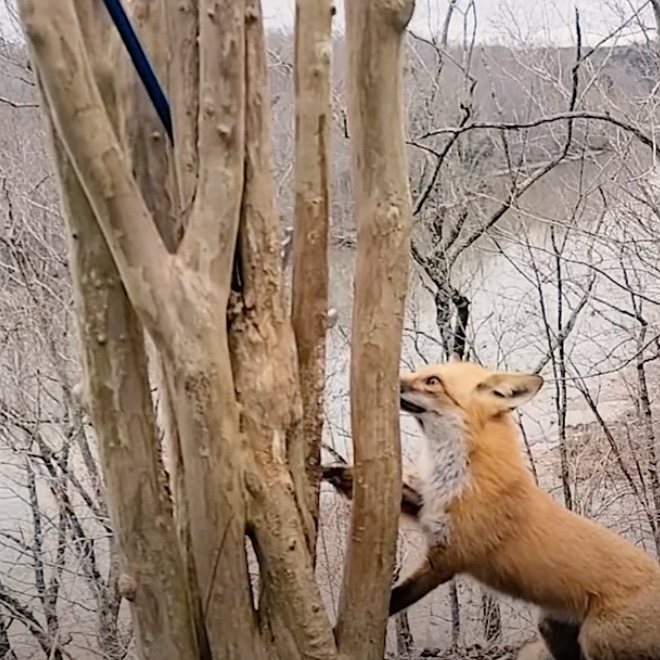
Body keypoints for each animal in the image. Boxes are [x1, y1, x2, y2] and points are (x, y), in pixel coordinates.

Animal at [323, 359, 660, 660]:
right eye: (421, 372)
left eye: (432, 381)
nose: (383, 378)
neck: (455, 474)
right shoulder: (427, 506)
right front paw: (332, 472)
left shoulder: (448, 557)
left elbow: (398, 597)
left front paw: (337, 631)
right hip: (551, 629)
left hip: (596, 641)